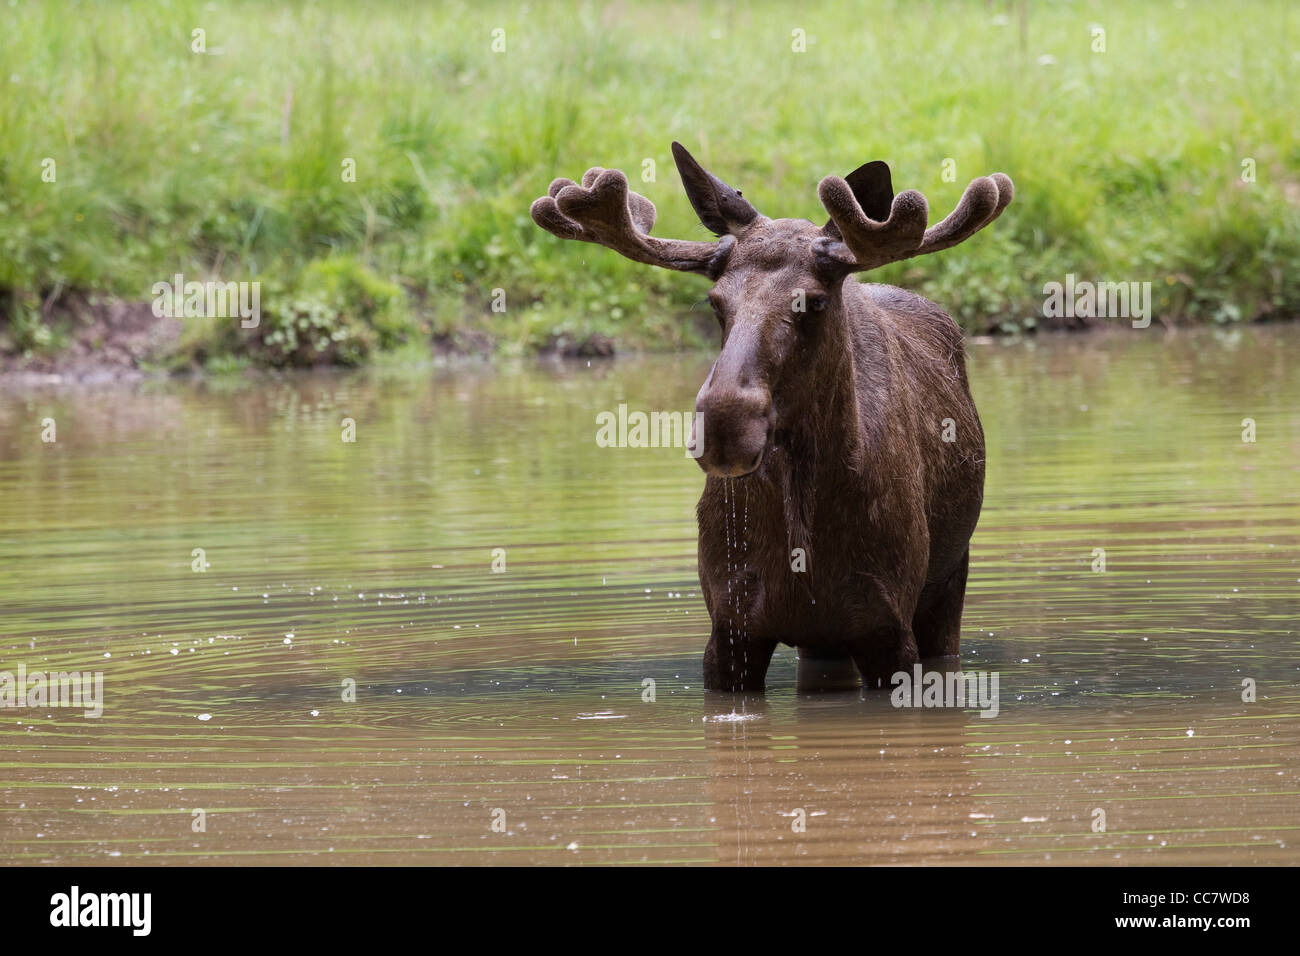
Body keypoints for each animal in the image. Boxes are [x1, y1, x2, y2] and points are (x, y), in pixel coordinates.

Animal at [531, 142, 1013, 693]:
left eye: (815, 301)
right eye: (715, 302)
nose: (725, 424)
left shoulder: (887, 629)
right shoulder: (730, 627)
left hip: (948, 582)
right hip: (823, 640)